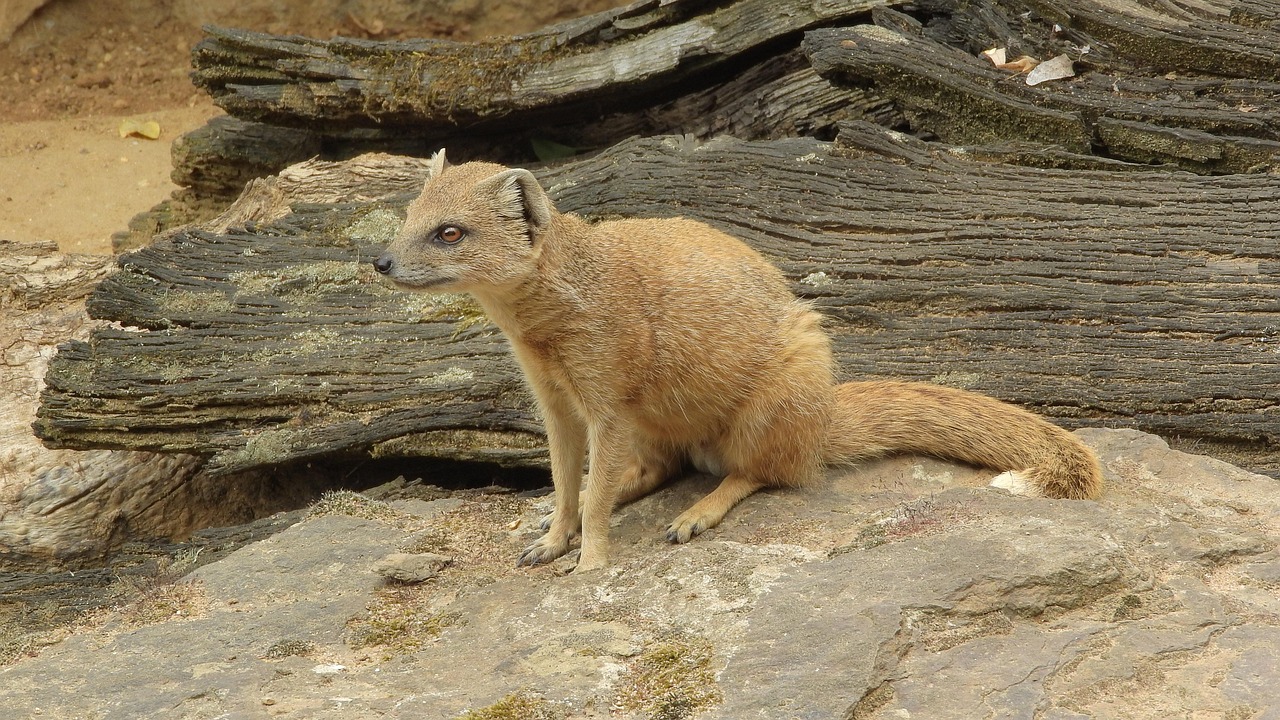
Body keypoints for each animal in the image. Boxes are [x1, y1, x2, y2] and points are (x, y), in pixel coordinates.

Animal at [373, 150, 1102, 572]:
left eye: (450, 232)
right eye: (405, 215)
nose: (378, 260)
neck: (547, 331)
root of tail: (824, 415)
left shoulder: (609, 390)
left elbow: (598, 482)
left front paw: (590, 562)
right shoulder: (553, 398)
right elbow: (562, 475)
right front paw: (554, 538)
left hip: (780, 392)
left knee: (763, 471)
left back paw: (696, 514)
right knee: (664, 466)